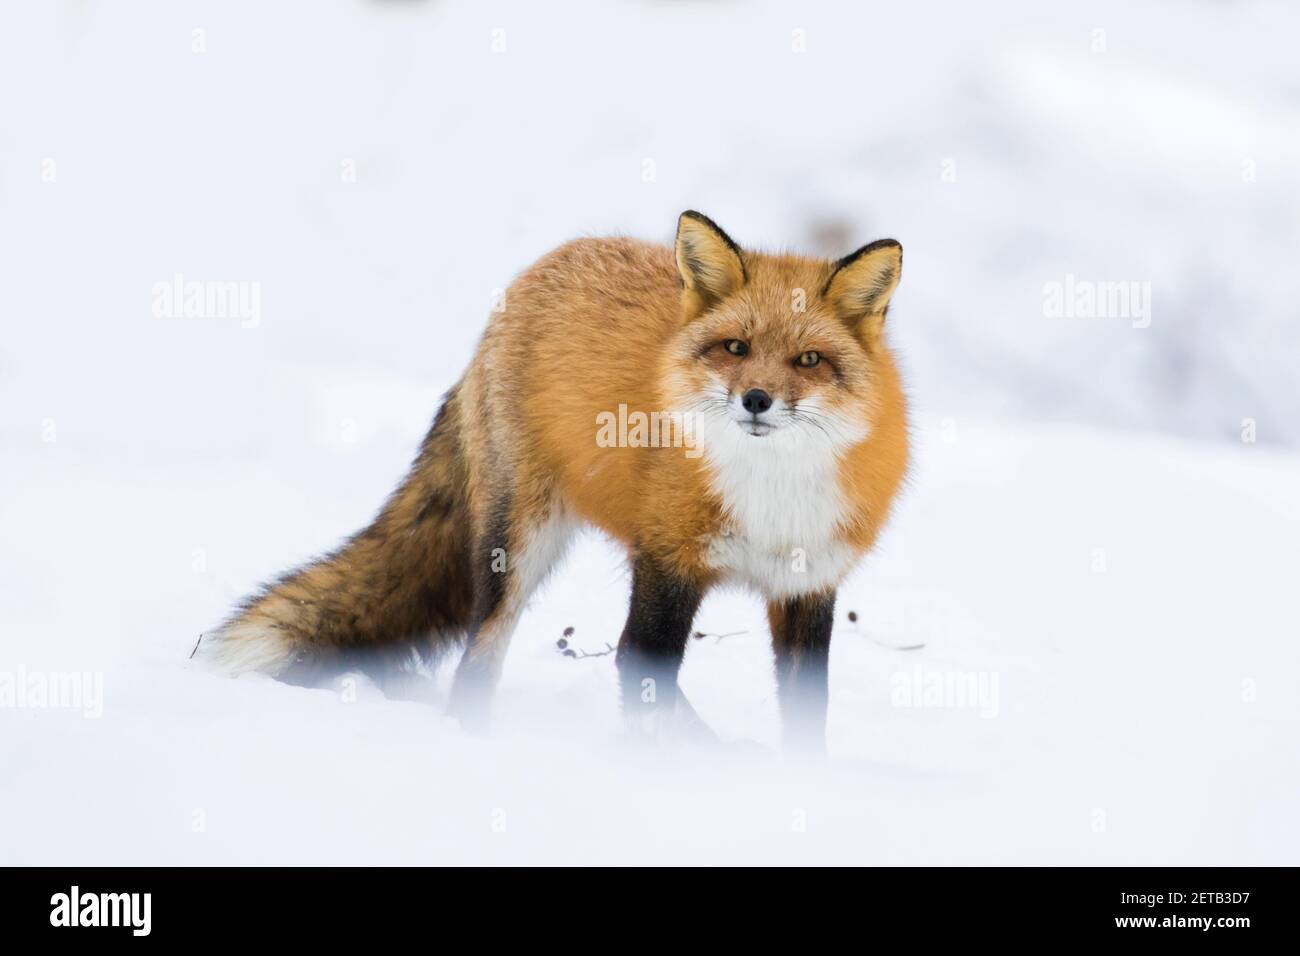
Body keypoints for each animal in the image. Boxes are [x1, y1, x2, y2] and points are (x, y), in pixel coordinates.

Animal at [205, 211, 909, 751]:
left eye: (809, 360)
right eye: (736, 348)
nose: (757, 400)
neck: (770, 494)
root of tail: (543, 265)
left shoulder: (809, 584)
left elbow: (805, 717)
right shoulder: (666, 563)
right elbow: (638, 667)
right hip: (517, 546)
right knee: (482, 656)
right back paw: (473, 740)